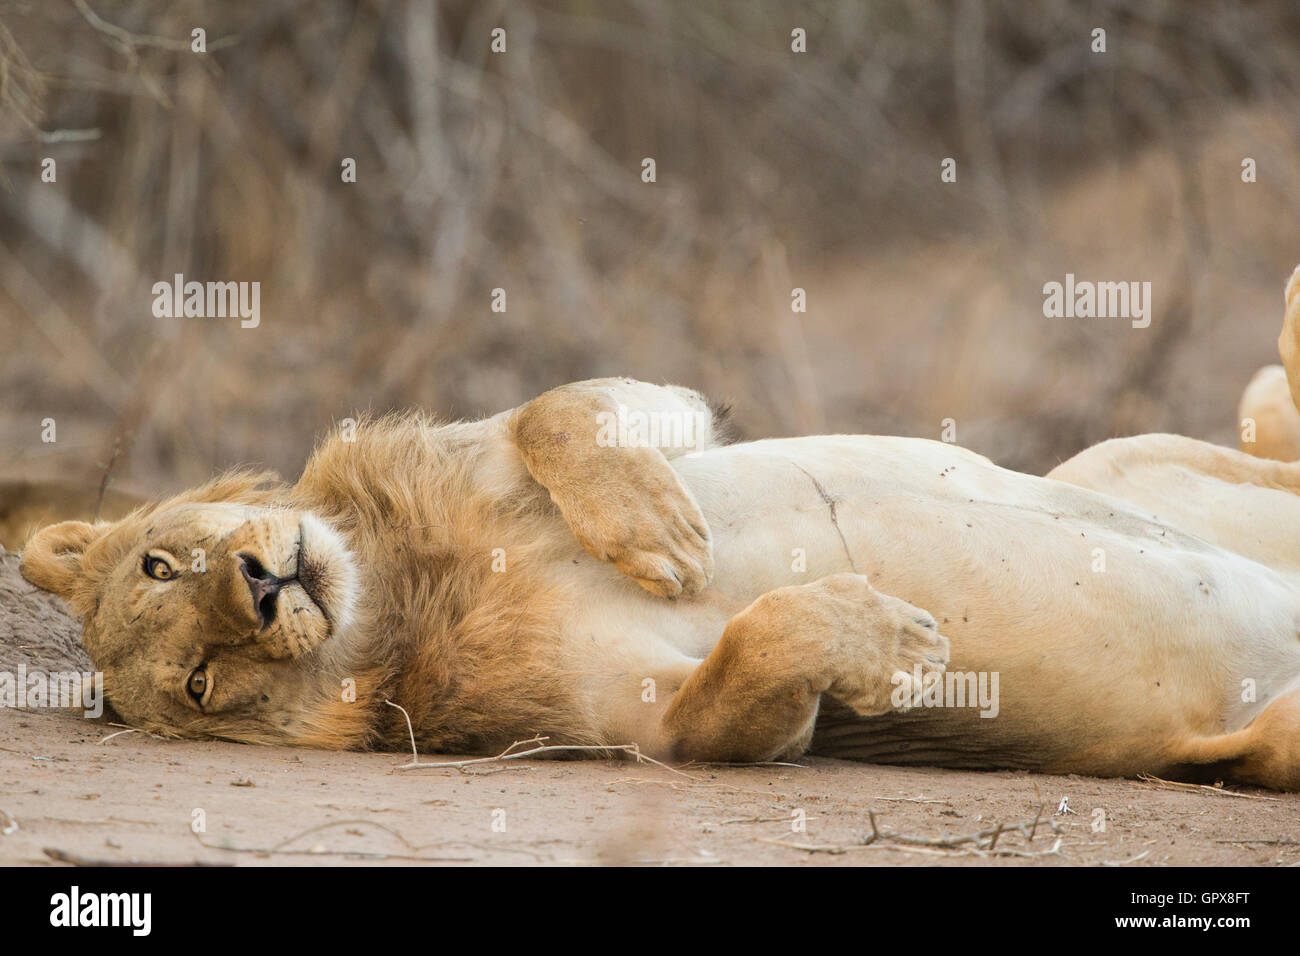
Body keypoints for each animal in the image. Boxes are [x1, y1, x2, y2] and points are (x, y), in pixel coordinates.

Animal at [18, 273, 1300, 790]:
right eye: (196, 678)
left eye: (162, 557)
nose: (262, 587)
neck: (400, 585)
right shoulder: (638, 722)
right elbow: (744, 660)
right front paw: (890, 637)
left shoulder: (618, 418)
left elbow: (560, 407)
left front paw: (660, 537)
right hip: (1269, 740)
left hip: (1128, 461)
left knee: (1264, 426)